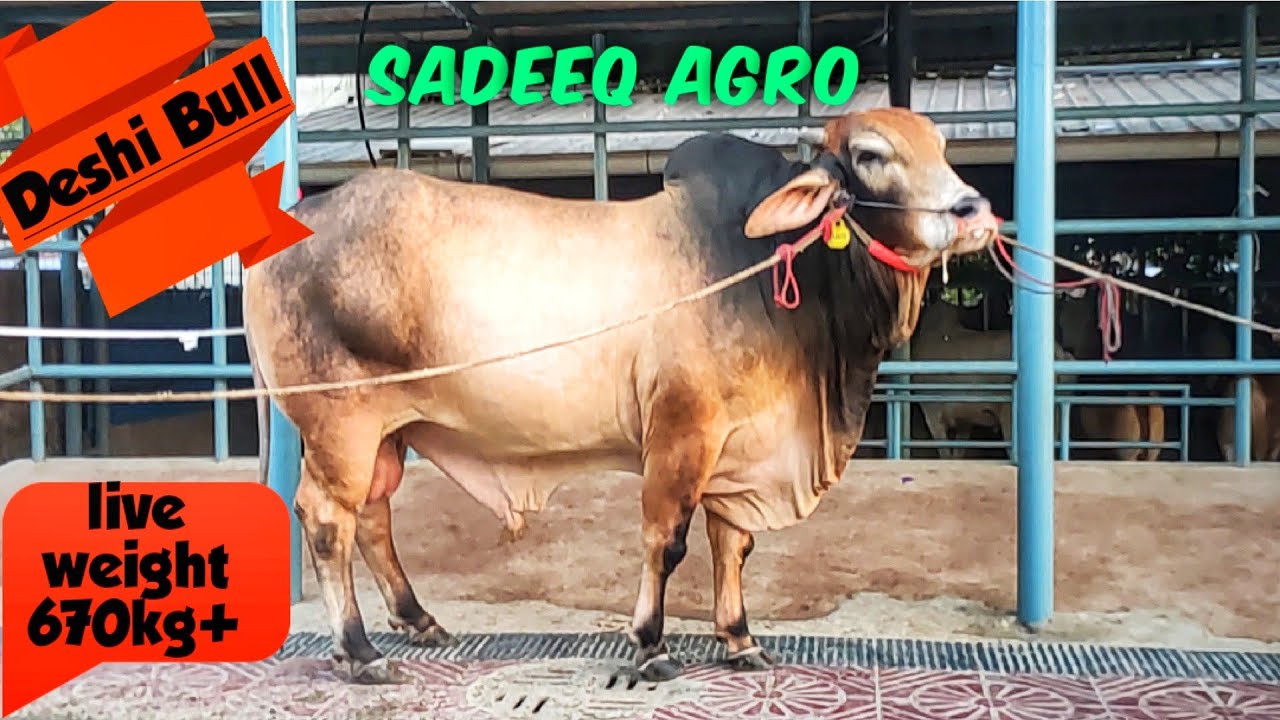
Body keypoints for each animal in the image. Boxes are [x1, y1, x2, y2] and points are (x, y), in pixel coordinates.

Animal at [242, 107, 1002, 685]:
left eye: (942, 148)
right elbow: (667, 542)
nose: (973, 211)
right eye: (872, 154)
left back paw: (417, 620)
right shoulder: (682, 433)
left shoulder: (739, 444)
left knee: (372, 519)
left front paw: (741, 639)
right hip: (339, 423)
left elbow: (735, 544)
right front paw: (651, 644)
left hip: (387, 433)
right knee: (328, 521)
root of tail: (299, 217)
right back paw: (359, 651)